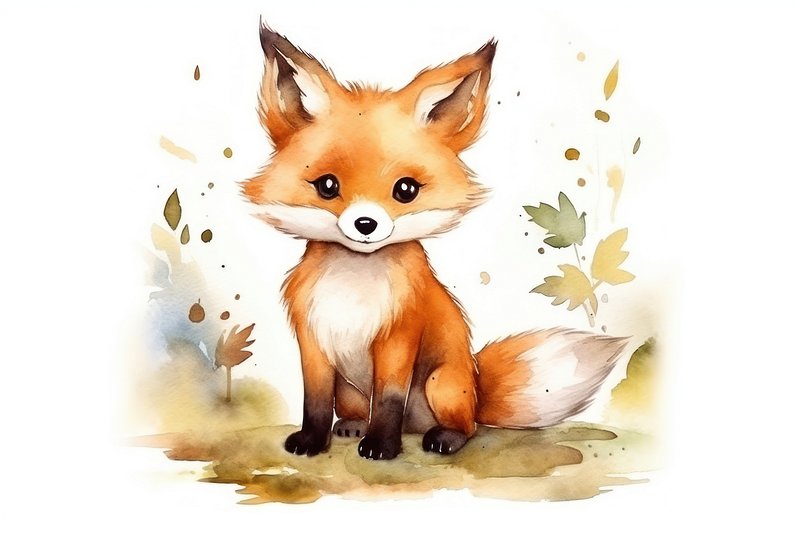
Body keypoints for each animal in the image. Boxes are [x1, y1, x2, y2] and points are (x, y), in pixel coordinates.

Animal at [243, 22, 627, 460]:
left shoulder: (399, 335)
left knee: (468, 426)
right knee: (358, 409)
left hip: (440, 383)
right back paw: (353, 427)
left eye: (405, 189)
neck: (354, 285)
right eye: (327, 186)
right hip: (352, 389)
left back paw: (442, 437)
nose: (365, 223)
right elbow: (315, 400)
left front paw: (382, 446)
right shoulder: (313, 338)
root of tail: (475, 386)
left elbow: (388, 399)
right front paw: (311, 441)